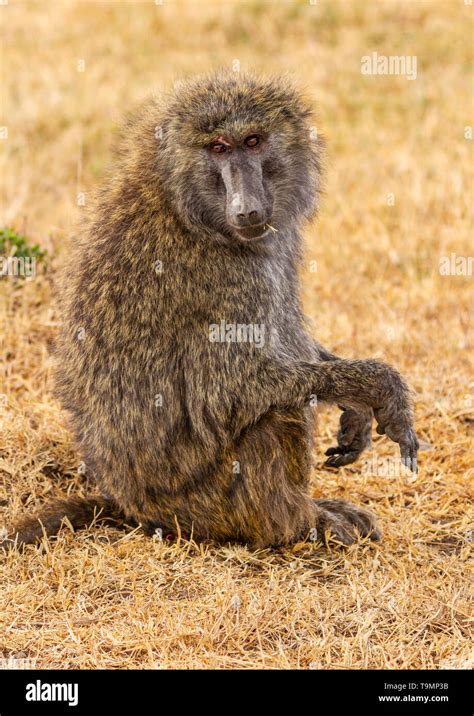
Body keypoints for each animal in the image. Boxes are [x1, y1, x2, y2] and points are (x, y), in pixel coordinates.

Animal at [2, 71, 418, 551]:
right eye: (218, 148)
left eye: (253, 141)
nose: (248, 208)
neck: (184, 204)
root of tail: (130, 505)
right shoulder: (222, 281)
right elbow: (228, 392)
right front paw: (378, 385)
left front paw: (355, 407)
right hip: (205, 503)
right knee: (275, 414)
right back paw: (299, 522)